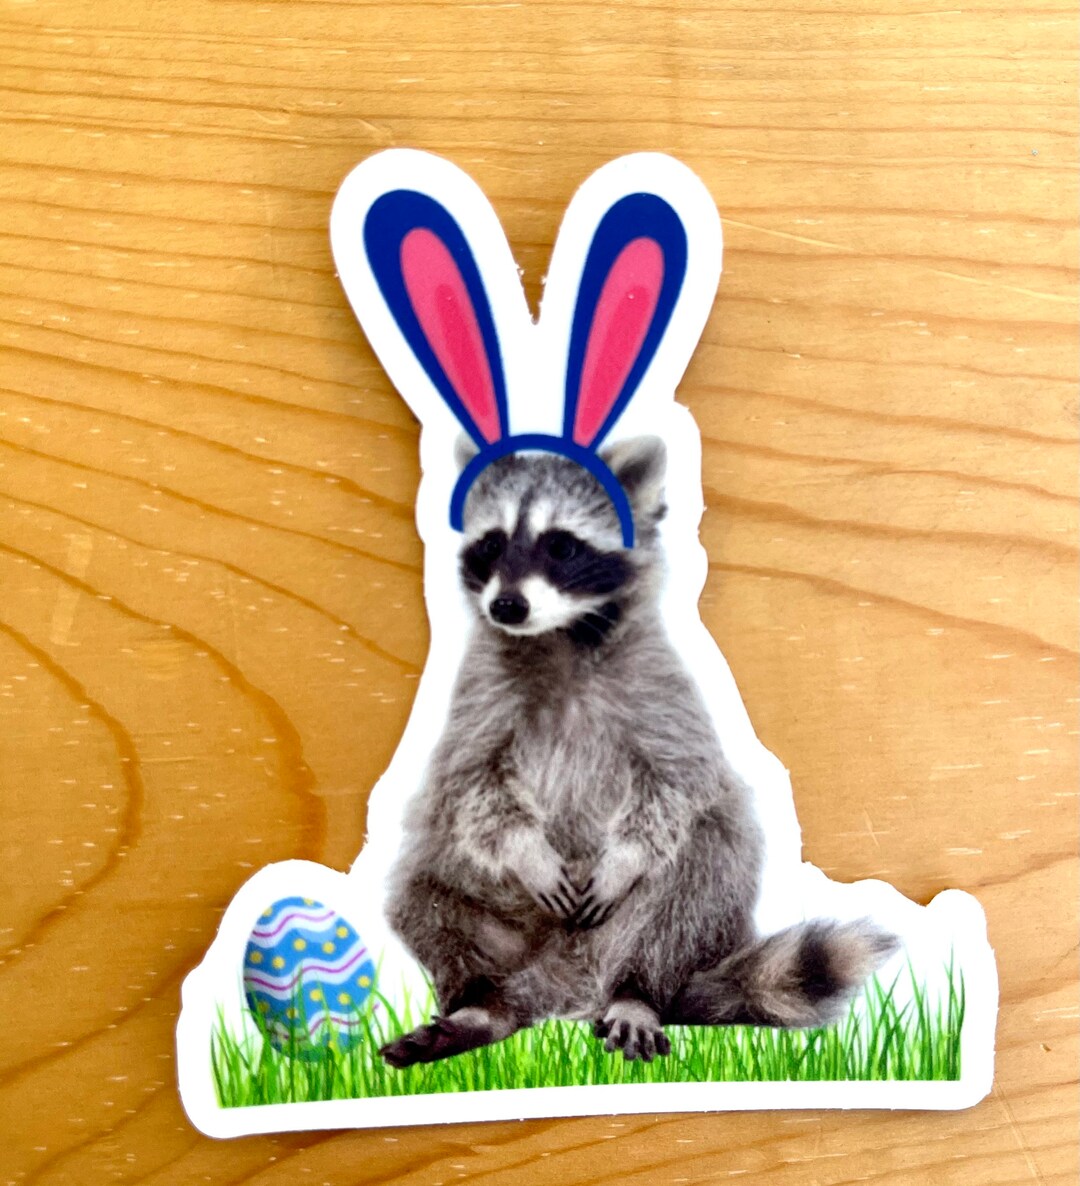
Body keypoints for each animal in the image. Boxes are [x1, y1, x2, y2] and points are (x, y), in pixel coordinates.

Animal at [381, 437, 897, 1066]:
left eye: (561, 545)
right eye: (492, 542)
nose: (506, 606)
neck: (560, 638)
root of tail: (569, 984)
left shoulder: (658, 685)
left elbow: (681, 782)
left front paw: (623, 860)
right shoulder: (480, 694)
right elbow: (470, 783)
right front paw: (527, 850)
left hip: (667, 925)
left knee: (706, 858)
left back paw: (637, 991)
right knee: (421, 884)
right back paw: (481, 1003)